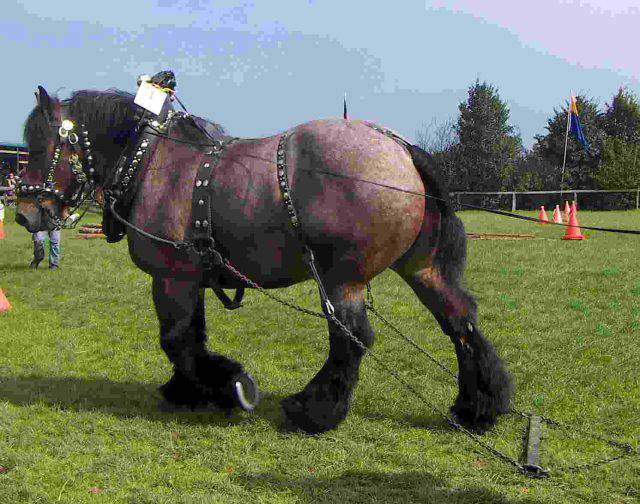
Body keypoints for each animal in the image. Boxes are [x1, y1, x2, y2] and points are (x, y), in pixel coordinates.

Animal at [15, 84, 513, 435]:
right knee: (459, 320)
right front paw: (189, 388)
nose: (24, 213)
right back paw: (477, 406)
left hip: (341, 278)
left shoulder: (171, 276)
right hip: (419, 267)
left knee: (351, 339)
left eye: (39, 147)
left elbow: (176, 339)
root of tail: (400, 148)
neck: (153, 163)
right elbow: (189, 336)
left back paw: (313, 411)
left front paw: (228, 385)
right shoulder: (190, 278)